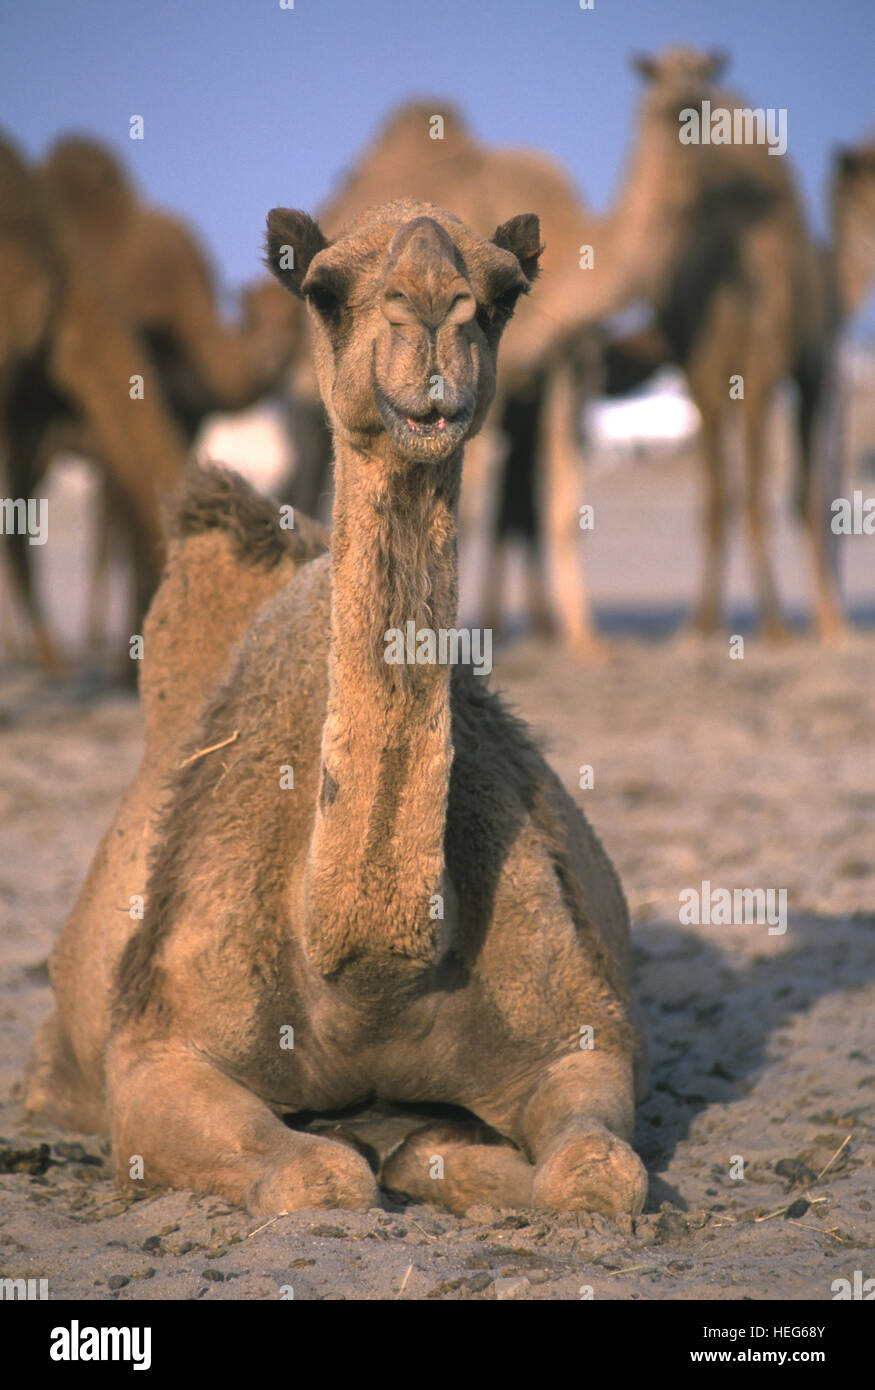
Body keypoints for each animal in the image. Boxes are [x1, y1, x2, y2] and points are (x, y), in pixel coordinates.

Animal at [26, 199, 647, 1220]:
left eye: (505, 292)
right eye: (322, 290)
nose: (433, 307)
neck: (362, 982)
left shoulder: (577, 1036)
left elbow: (597, 1170)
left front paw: (448, 1153)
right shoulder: (158, 1050)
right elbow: (316, 1175)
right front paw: (378, 1149)